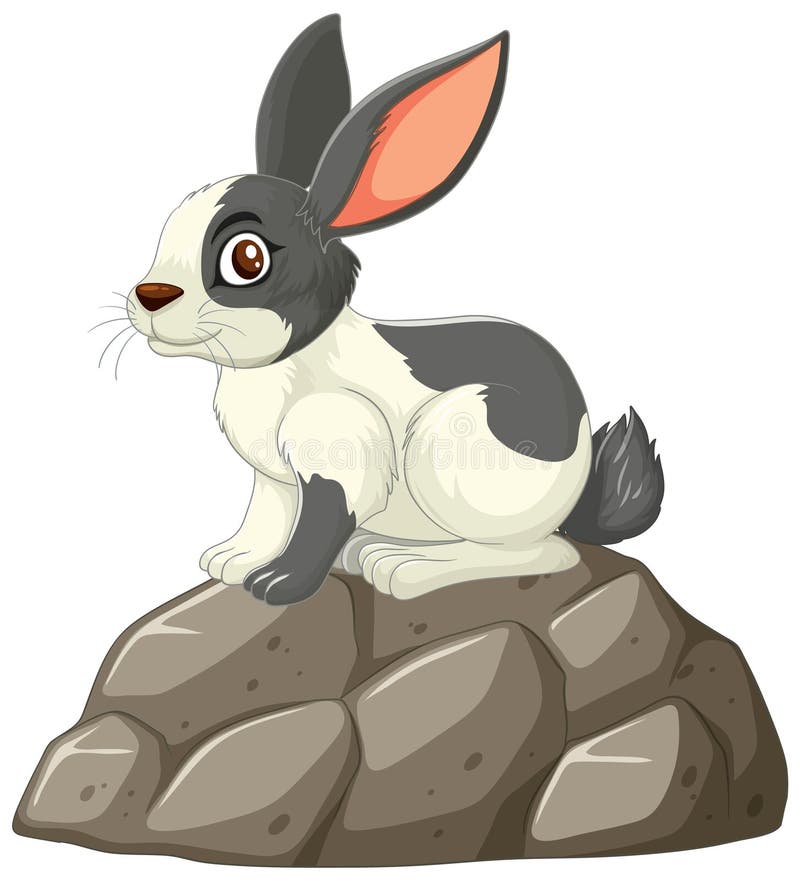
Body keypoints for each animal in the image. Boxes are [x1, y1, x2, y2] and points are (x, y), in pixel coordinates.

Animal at [124, 14, 664, 604]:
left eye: (247, 257)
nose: (151, 296)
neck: (290, 363)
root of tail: (577, 477)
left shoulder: (337, 449)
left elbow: (322, 520)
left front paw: (277, 584)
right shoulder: (274, 480)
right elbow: (267, 517)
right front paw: (230, 561)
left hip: (454, 448)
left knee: (543, 553)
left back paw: (401, 566)